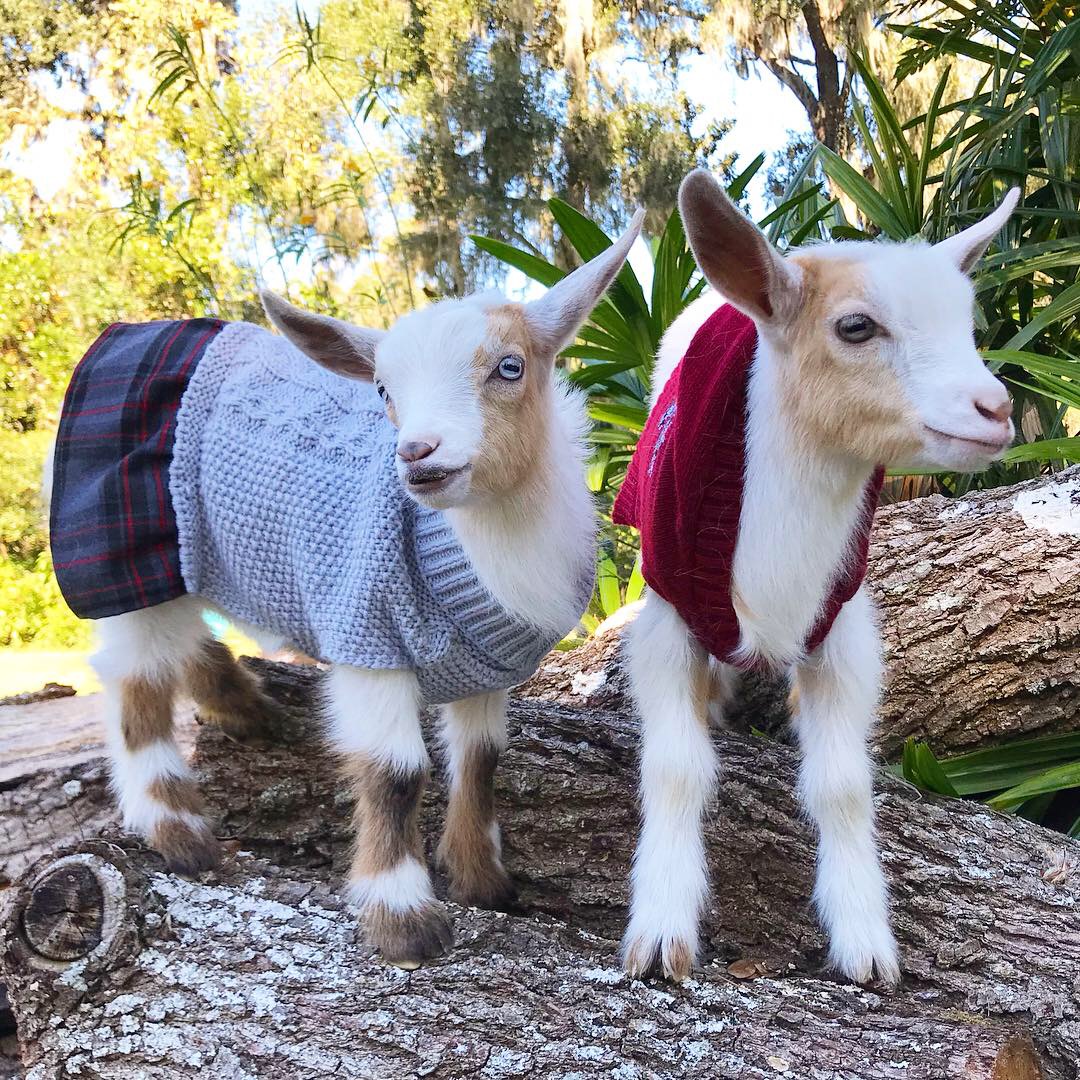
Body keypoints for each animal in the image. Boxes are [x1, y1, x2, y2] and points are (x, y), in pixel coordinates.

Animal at [47, 211, 642, 967]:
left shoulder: (487, 665)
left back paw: (248, 709)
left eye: (510, 367)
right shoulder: (366, 631)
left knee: (185, 639)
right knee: (135, 681)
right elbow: (395, 773)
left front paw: (482, 880)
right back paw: (177, 831)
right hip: (128, 555)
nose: (417, 453)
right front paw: (404, 920)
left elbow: (481, 760)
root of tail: (120, 335)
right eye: (383, 390)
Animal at [613, 171, 1018, 985]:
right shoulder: (667, 613)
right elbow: (676, 767)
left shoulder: (844, 619)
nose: (996, 410)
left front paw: (864, 937)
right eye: (856, 327)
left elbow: (842, 783)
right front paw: (662, 930)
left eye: (968, 322)